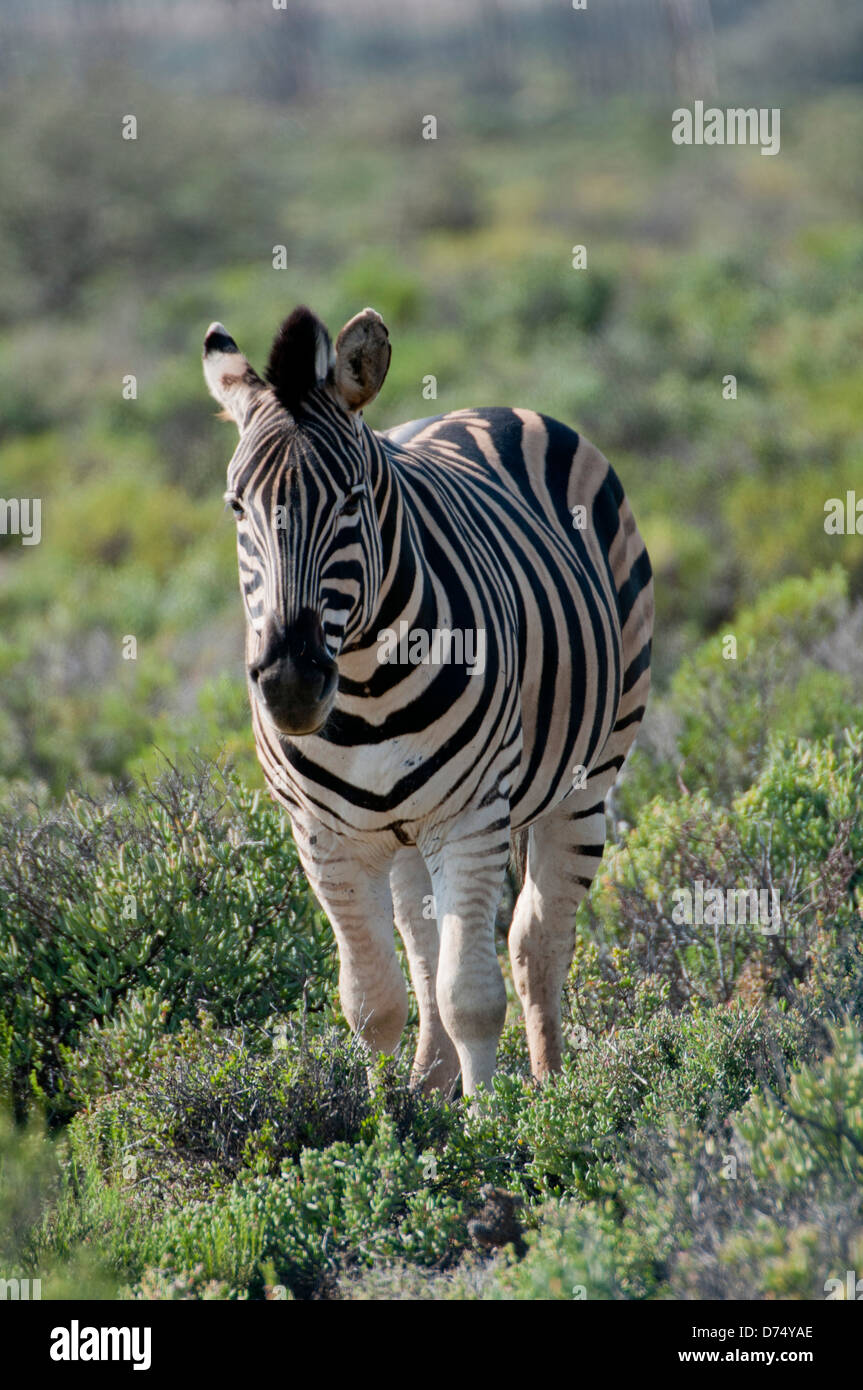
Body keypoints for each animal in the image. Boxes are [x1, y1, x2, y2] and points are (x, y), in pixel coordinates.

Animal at [203, 305, 653, 1097]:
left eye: (351, 502)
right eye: (236, 508)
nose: (289, 684)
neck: (363, 691)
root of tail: (496, 410)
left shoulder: (469, 819)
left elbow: (471, 995)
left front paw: (492, 1123)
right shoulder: (325, 839)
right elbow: (374, 999)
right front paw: (386, 1118)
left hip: (585, 783)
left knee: (536, 942)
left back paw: (552, 1092)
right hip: (405, 830)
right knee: (423, 943)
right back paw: (429, 1083)